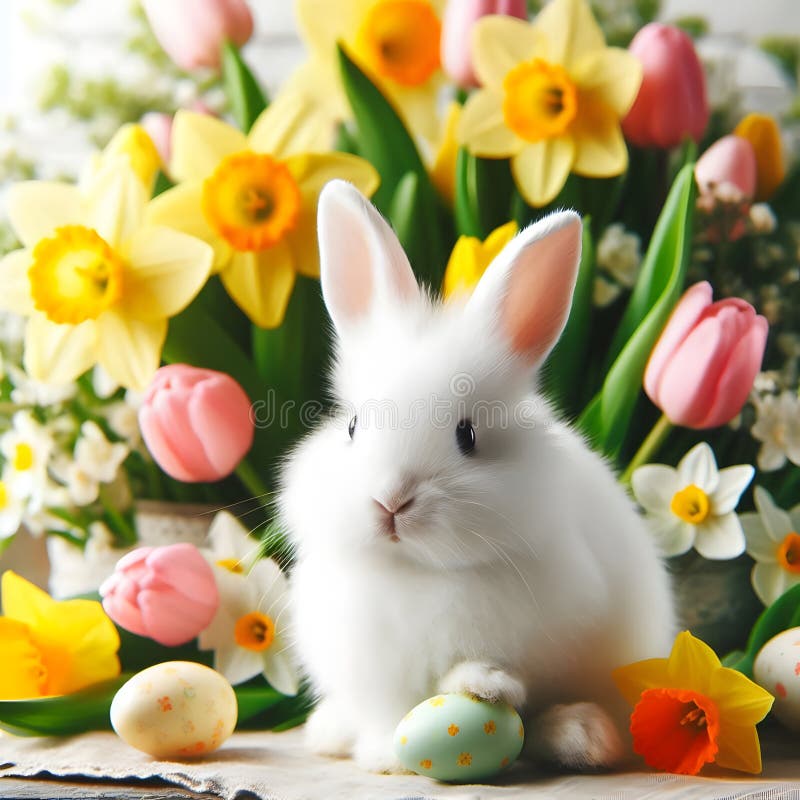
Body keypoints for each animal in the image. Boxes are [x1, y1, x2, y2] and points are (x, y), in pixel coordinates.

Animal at [279, 180, 677, 775]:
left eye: (467, 436)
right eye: (352, 426)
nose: (391, 501)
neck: (420, 574)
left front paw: (486, 687)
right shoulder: (373, 674)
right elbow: (386, 713)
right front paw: (388, 755)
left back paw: (583, 736)